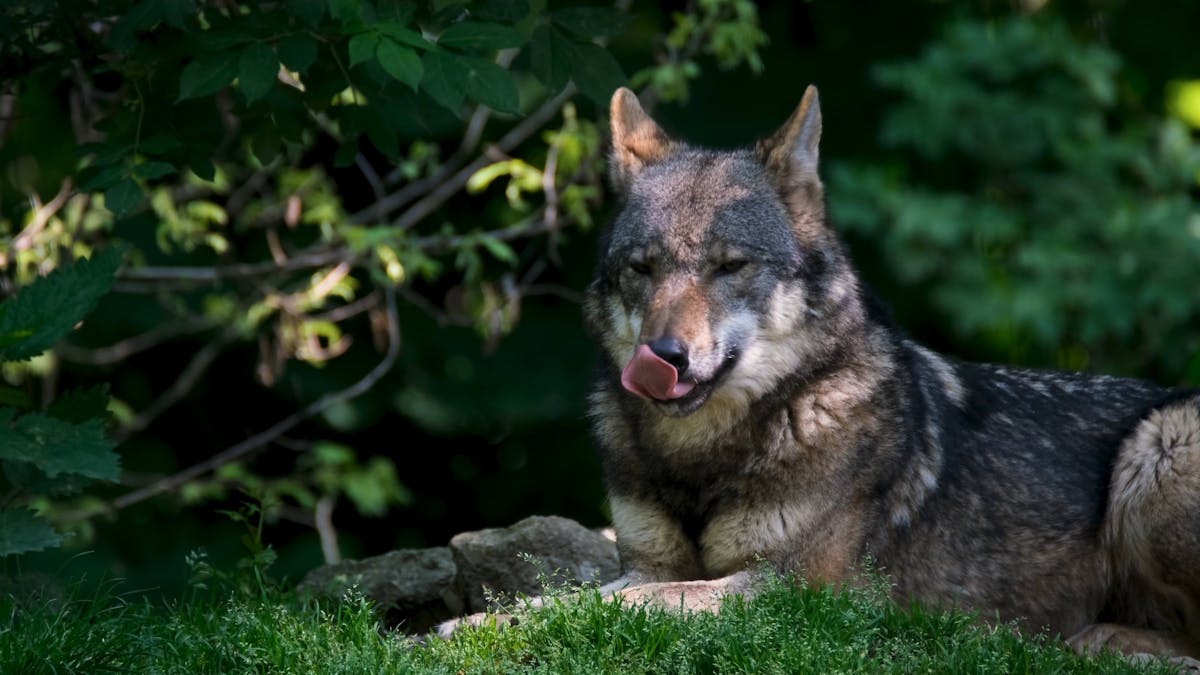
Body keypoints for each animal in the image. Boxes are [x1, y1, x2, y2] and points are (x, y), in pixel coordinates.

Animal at [571, 85, 1200, 661]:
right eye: (642, 269)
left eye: (730, 266)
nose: (663, 355)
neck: (699, 463)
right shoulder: (647, 561)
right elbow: (608, 591)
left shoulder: (796, 591)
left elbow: (634, 599)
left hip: (1163, 440)